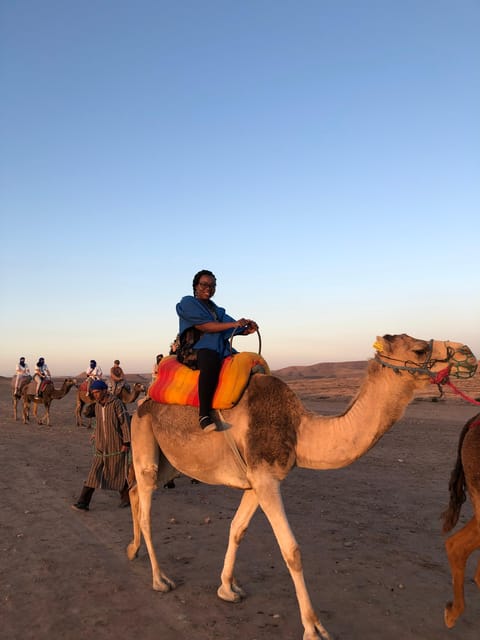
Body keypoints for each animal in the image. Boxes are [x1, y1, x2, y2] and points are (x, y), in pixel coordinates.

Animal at [126, 334, 477, 640]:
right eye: (419, 350)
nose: (469, 354)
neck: (300, 430)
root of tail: (143, 398)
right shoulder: (265, 479)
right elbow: (292, 551)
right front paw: (314, 628)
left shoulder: (257, 481)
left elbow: (237, 529)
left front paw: (227, 588)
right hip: (145, 440)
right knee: (145, 504)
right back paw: (160, 579)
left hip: (171, 461)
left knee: (134, 491)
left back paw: (133, 550)